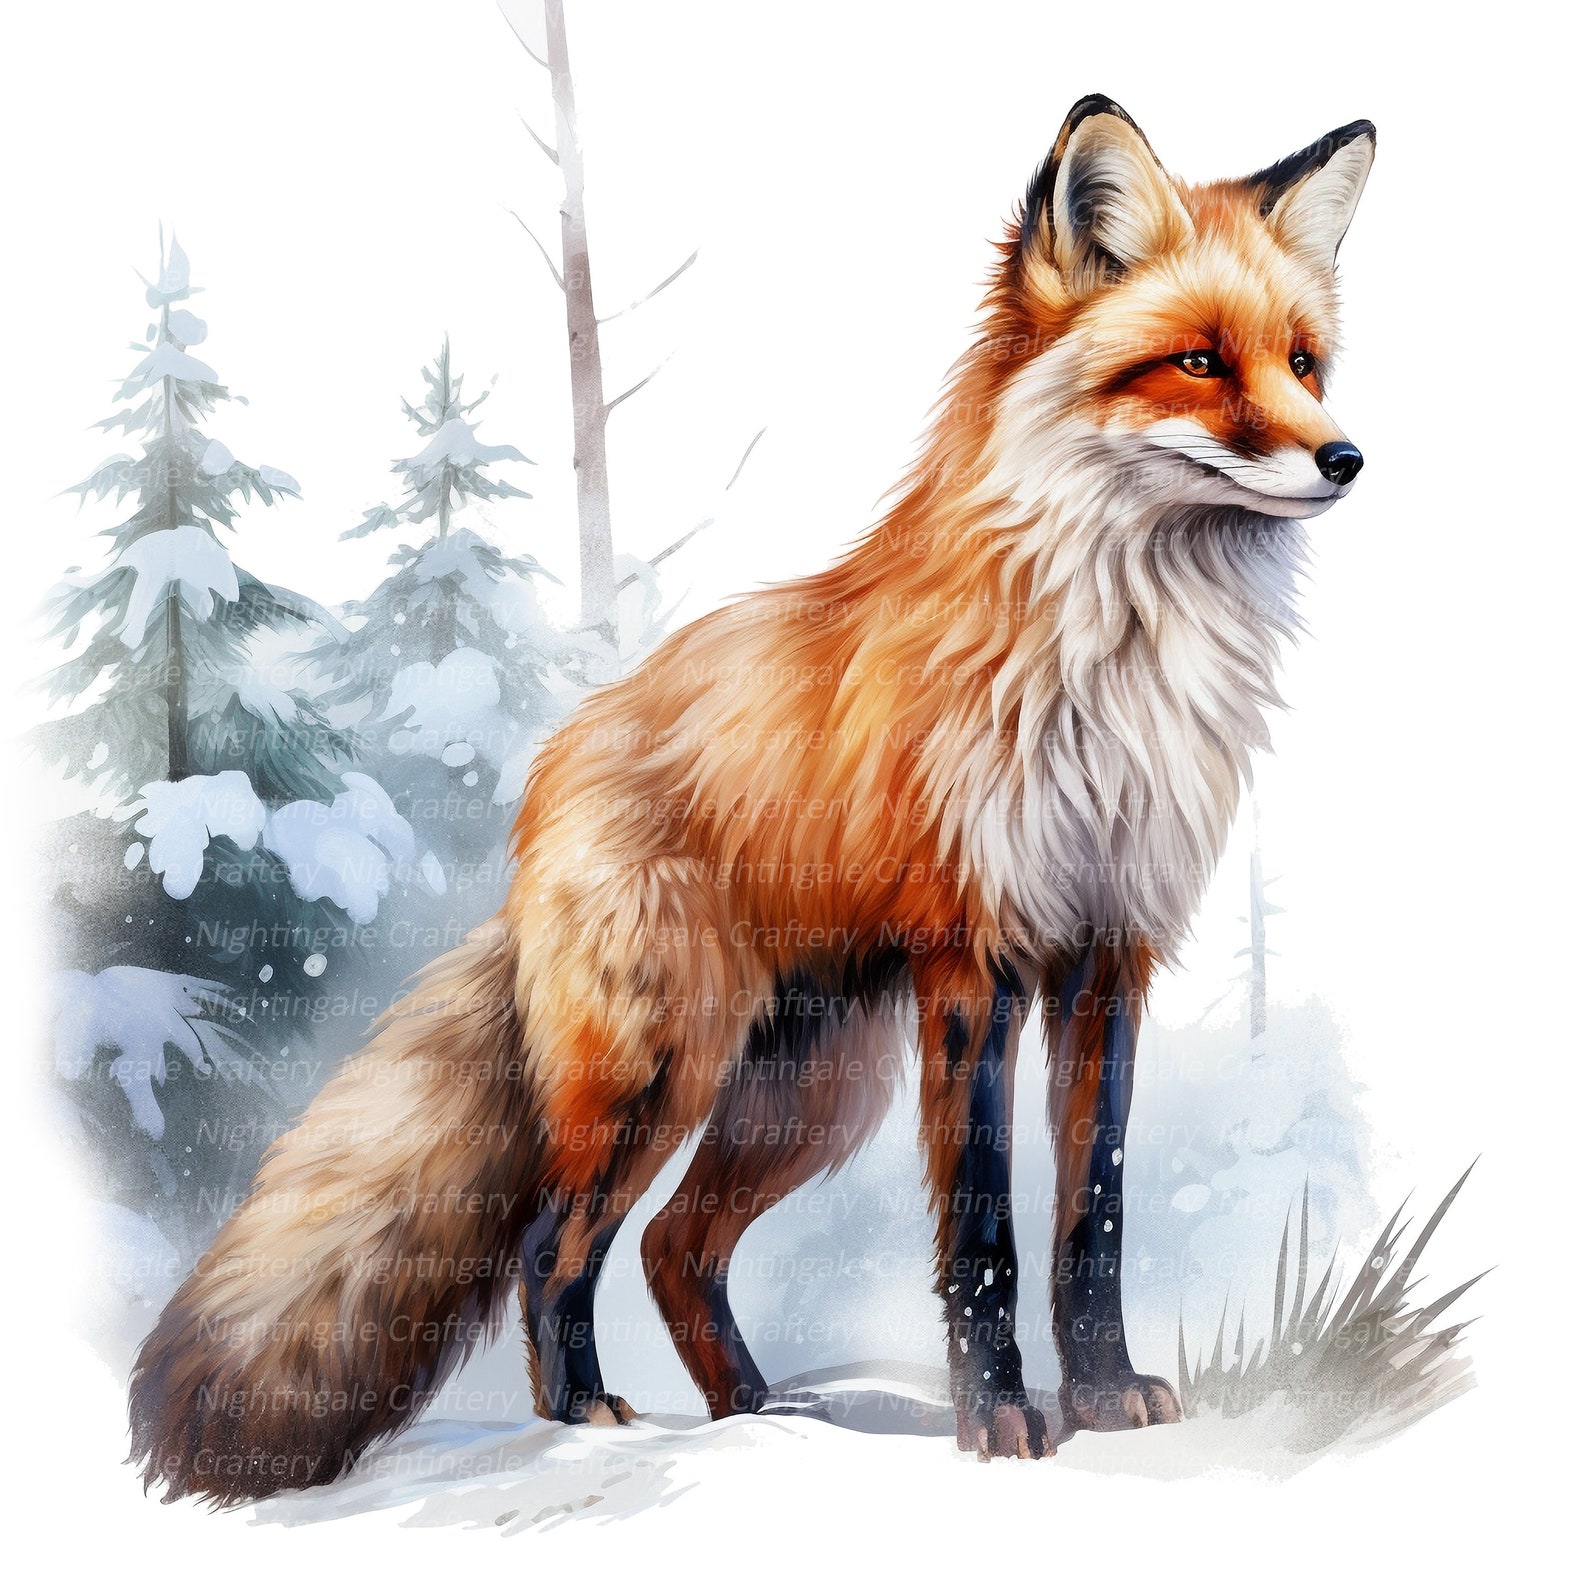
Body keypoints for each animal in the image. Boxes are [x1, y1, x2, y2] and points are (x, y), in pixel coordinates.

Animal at [129, 95, 1375, 1502]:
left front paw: (1105, 1400)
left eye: (1305, 363)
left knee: (674, 1246)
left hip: (807, 1096)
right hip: (664, 1072)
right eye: (1199, 363)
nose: (1345, 456)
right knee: (555, 1242)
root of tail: (550, 778)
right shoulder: (975, 963)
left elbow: (1089, 1220)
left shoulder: (1111, 956)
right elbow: (987, 1237)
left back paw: (759, 1417)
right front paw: (1001, 1423)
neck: (1115, 675)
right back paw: (587, 1417)